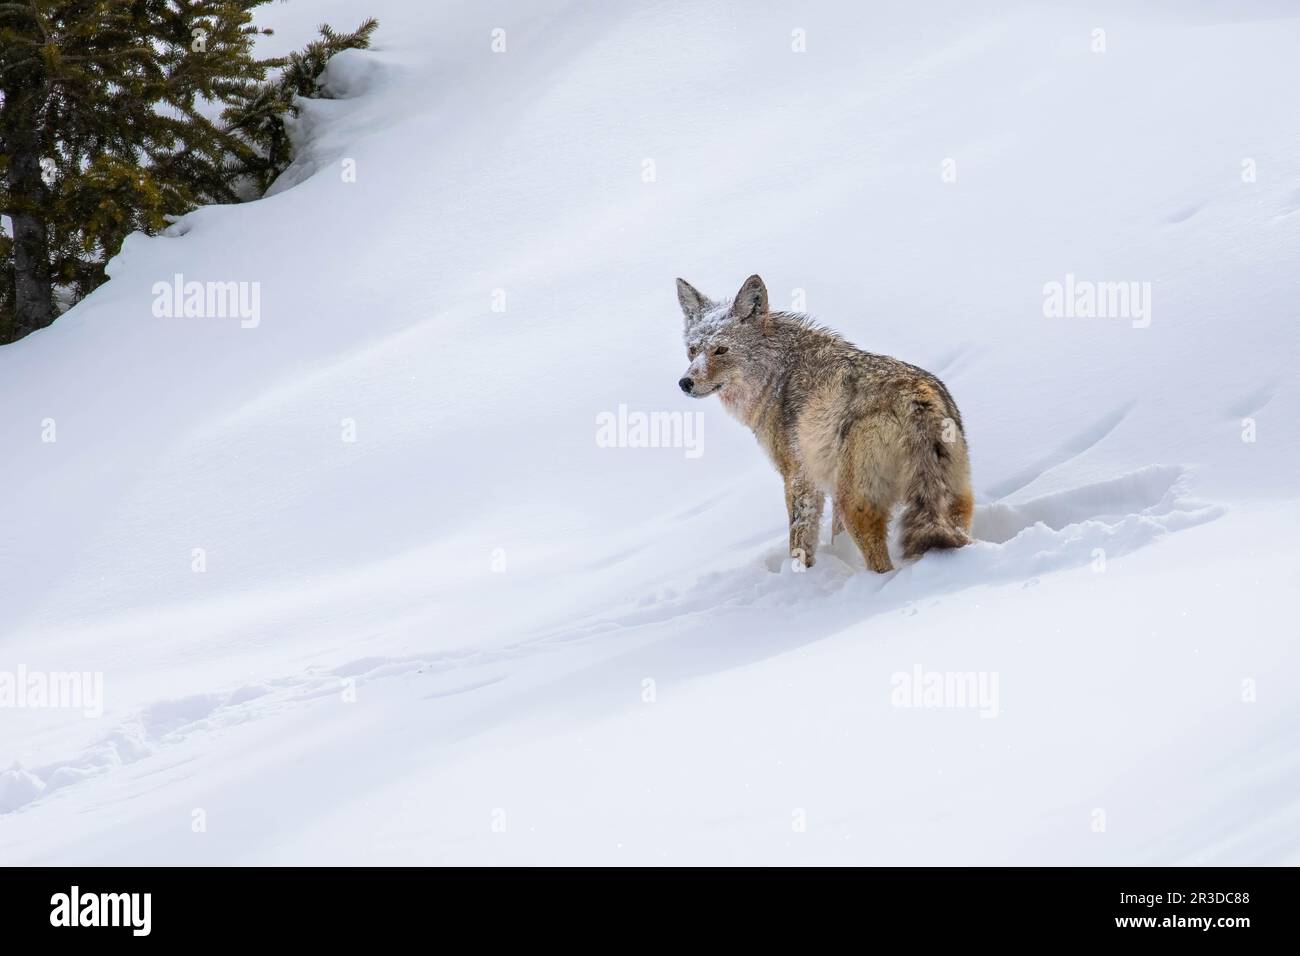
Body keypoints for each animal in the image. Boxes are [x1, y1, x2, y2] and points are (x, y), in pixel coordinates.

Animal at [676, 275, 972, 573]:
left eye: (721, 350)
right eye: (693, 350)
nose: (685, 383)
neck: (776, 376)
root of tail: (916, 398)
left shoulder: (799, 479)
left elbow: (800, 541)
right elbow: (834, 536)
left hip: (855, 506)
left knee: (882, 565)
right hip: (951, 501)